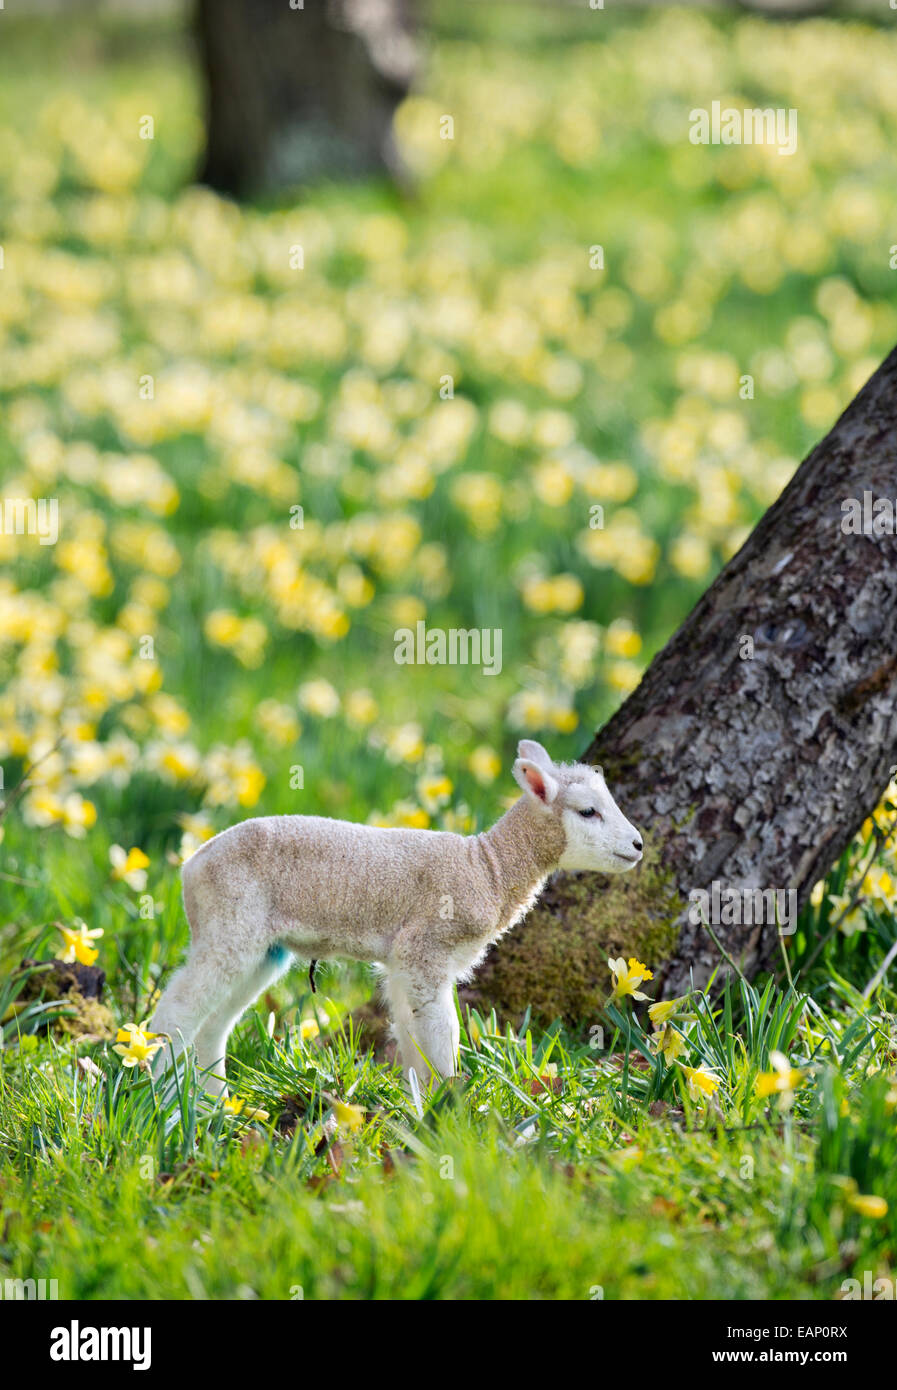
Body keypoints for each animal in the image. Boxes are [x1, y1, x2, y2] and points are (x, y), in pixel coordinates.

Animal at [149, 739, 642, 1094]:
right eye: (588, 812)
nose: (639, 845)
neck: (490, 868)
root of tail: (190, 867)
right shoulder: (425, 948)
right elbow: (443, 1032)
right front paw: (449, 1103)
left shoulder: (405, 964)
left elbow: (410, 1033)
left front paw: (420, 1103)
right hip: (230, 924)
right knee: (178, 1010)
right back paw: (161, 1095)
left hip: (260, 948)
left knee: (215, 1023)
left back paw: (215, 1104)